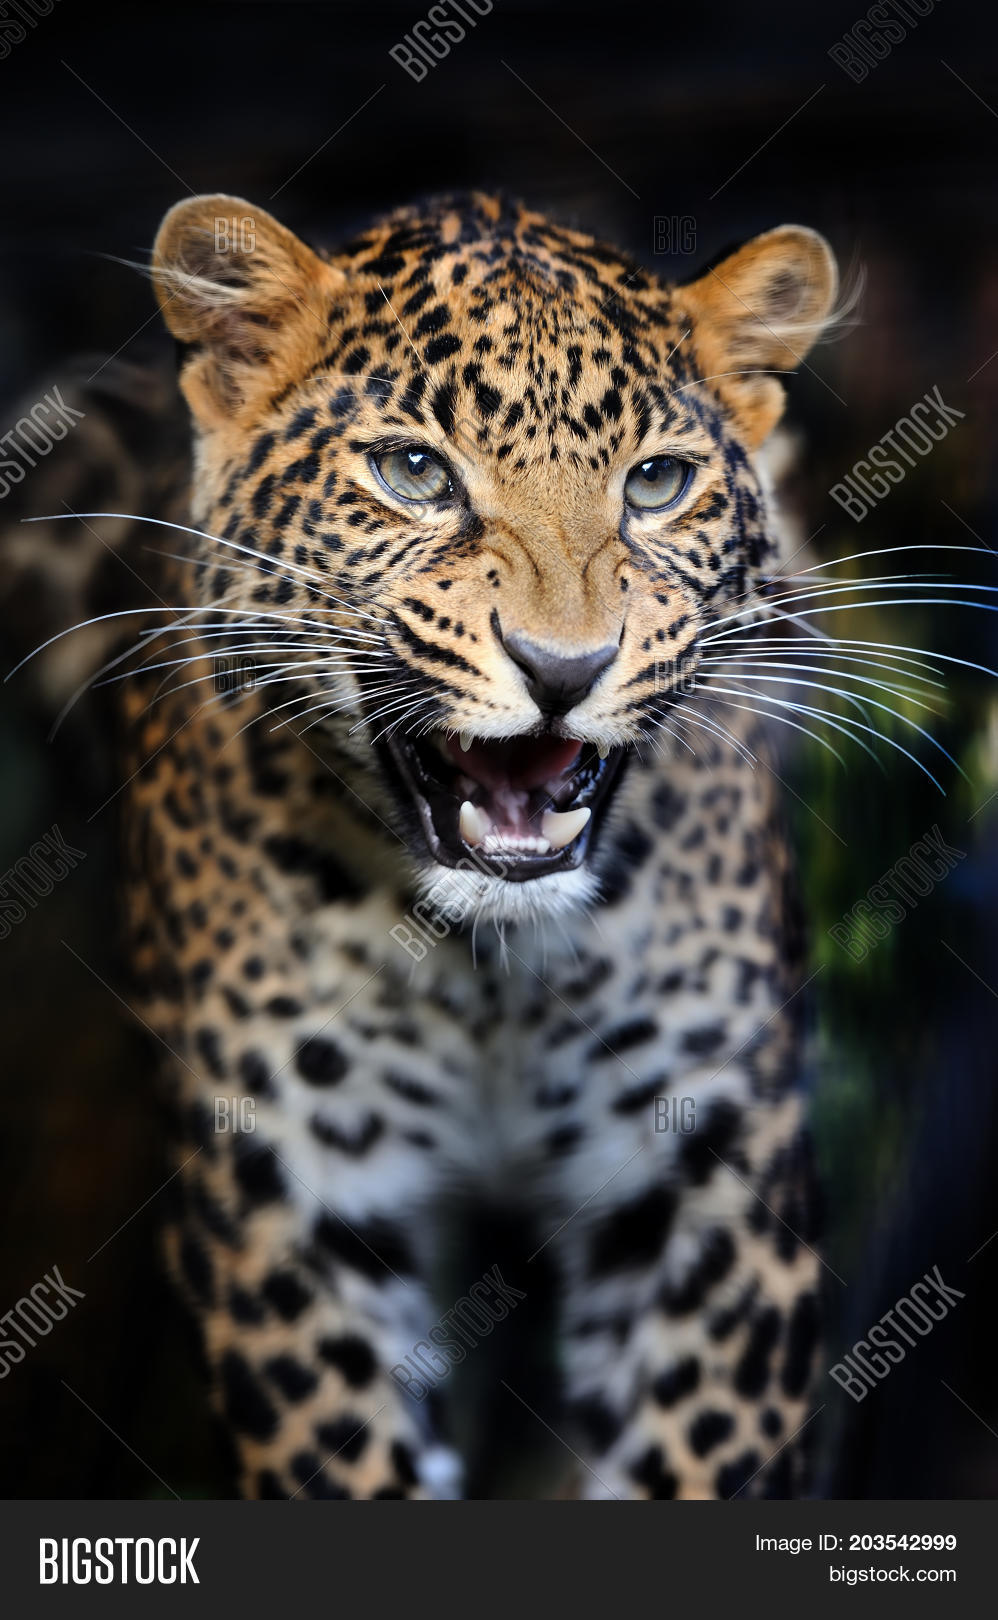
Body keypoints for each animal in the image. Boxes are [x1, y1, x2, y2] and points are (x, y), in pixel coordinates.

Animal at [10, 190, 841, 1499]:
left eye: (656, 483)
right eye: (413, 473)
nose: (562, 669)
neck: (489, 969)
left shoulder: (709, 1164)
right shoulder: (292, 1186)